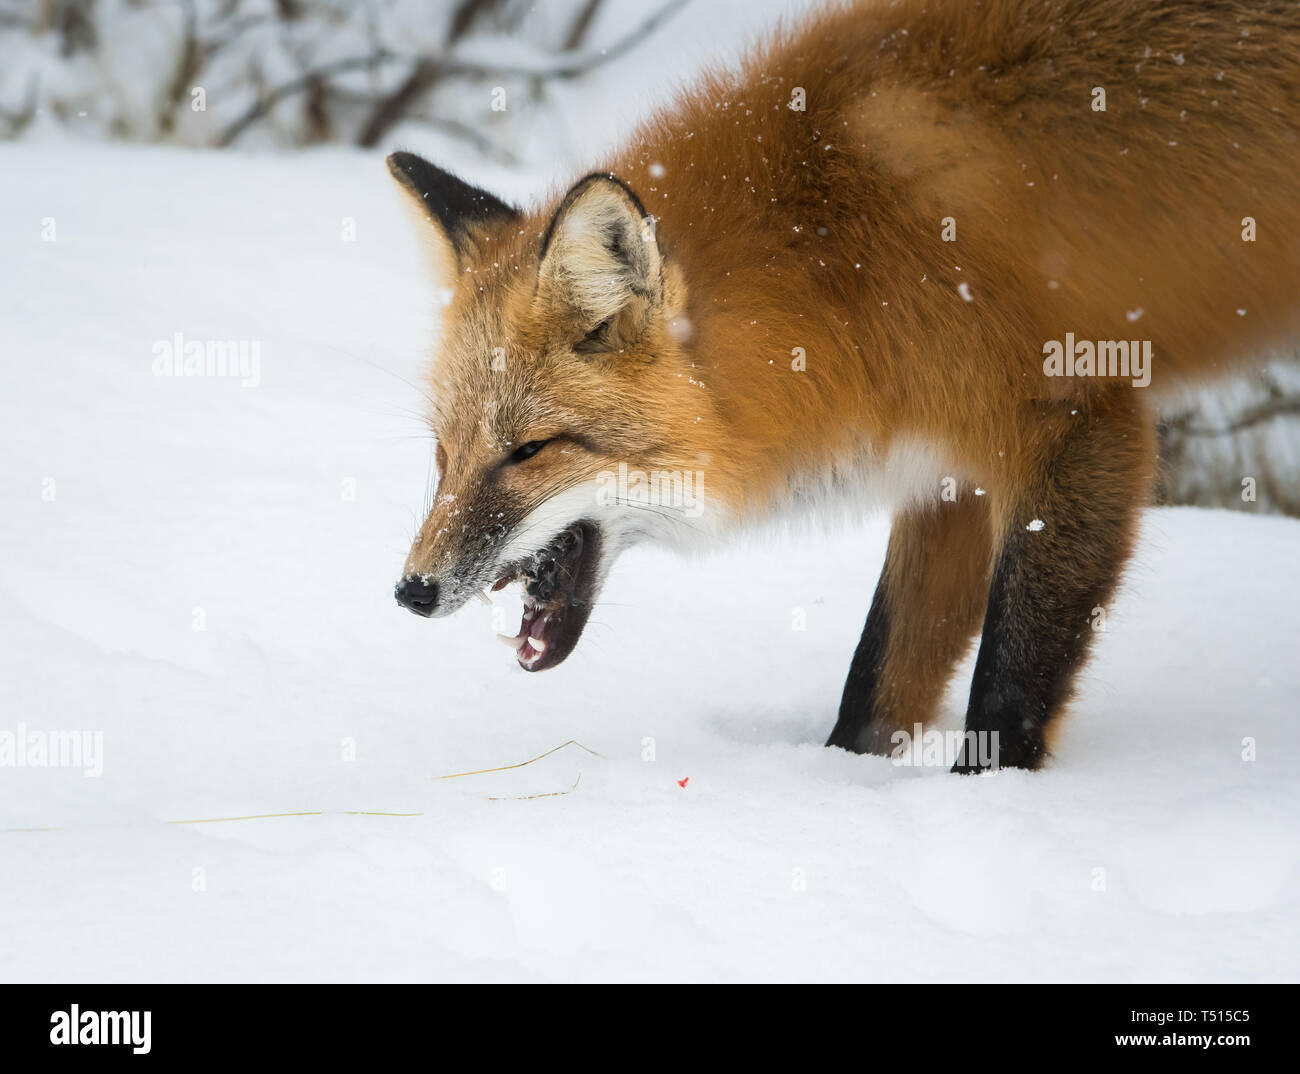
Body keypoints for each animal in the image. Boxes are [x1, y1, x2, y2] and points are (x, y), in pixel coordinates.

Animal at [388, 0, 1300, 771]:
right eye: (443, 455)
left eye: (530, 450)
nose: (411, 591)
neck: (841, 257)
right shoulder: (947, 471)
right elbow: (878, 678)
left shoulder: (1076, 423)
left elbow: (1007, 688)